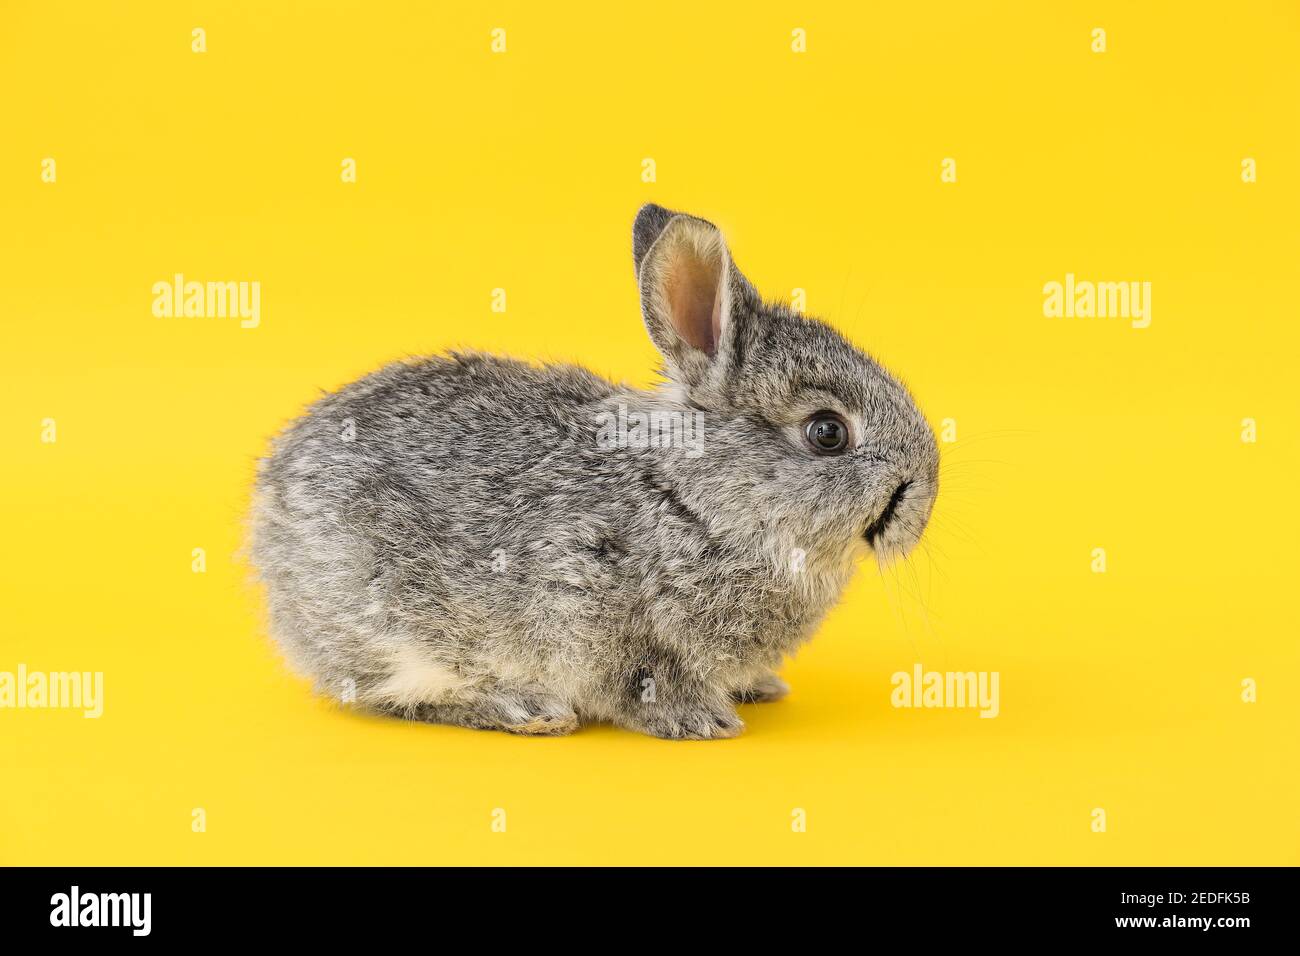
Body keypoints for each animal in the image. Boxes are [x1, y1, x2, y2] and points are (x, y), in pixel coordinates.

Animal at [250, 204, 938, 739]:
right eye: (827, 432)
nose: (922, 497)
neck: (691, 501)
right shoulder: (603, 617)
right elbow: (644, 679)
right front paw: (702, 721)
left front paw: (759, 687)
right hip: (393, 629)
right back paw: (524, 710)